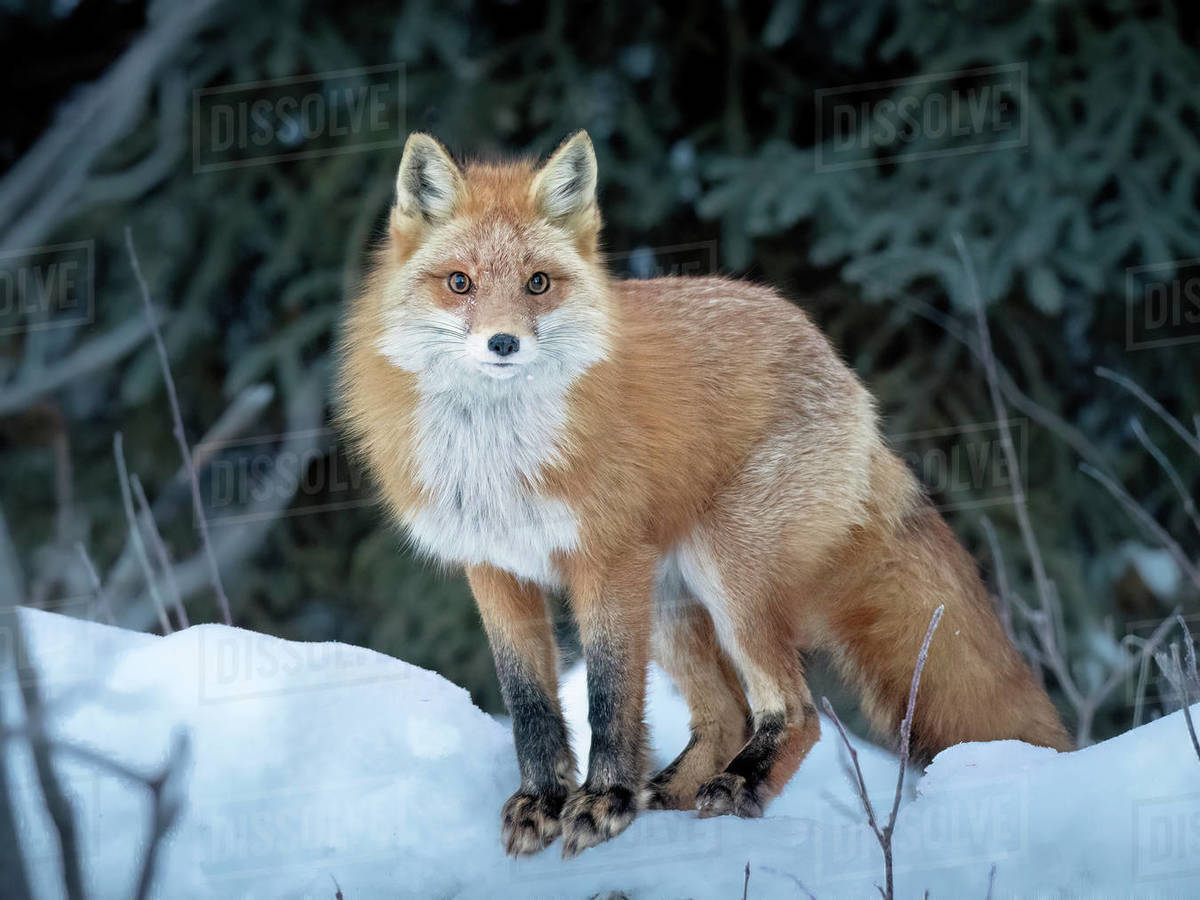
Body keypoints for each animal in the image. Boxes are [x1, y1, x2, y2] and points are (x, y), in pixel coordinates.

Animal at [337, 130, 1071, 859]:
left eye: (537, 283)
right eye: (459, 283)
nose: (503, 342)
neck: (498, 454)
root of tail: (831, 358)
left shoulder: (608, 561)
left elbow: (609, 698)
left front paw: (603, 800)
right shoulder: (495, 569)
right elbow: (531, 706)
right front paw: (545, 802)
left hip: (727, 573)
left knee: (795, 710)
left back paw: (733, 787)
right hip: (671, 602)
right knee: (727, 714)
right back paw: (667, 792)